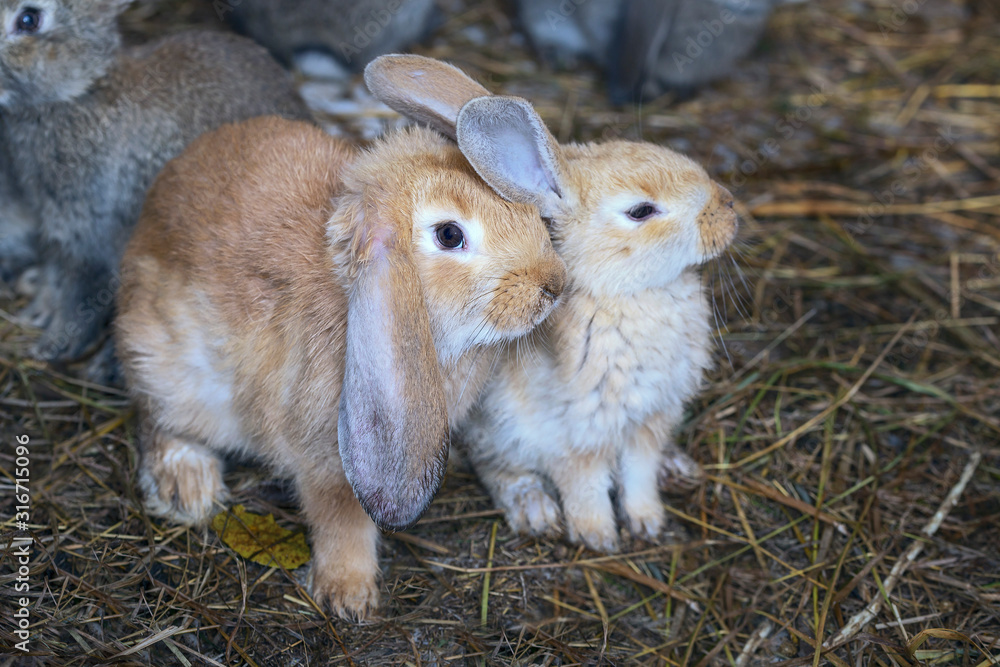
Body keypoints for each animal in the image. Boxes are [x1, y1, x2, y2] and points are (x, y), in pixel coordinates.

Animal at [0, 0, 310, 367]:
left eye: (28, 20)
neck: (81, 92)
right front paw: (39, 311)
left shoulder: (88, 226)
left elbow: (84, 288)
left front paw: (56, 346)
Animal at [115, 106, 567, 617]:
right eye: (450, 235)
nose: (553, 285)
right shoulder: (326, 450)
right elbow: (340, 515)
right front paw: (349, 595)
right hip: (166, 367)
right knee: (157, 419)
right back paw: (190, 488)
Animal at [365, 54, 739, 552]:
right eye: (641, 211)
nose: (729, 208)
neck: (627, 295)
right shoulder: (576, 433)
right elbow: (585, 484)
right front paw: (598, 537)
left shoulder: (648, 422)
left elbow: (638, 475)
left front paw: (647, 523)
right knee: (499, 469)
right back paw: (535, 510)